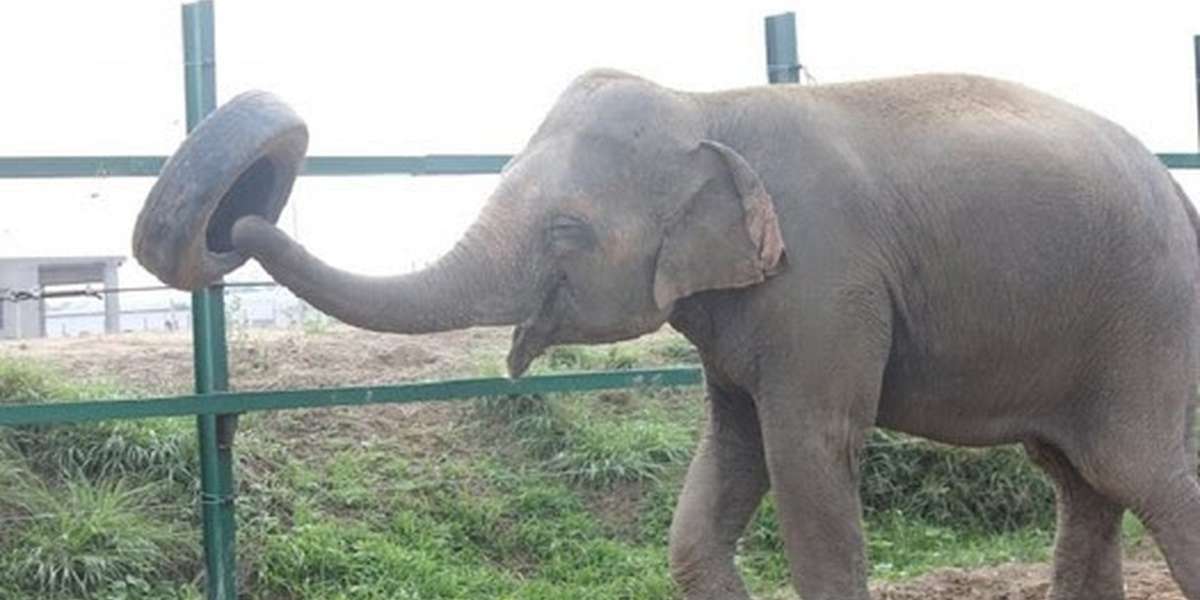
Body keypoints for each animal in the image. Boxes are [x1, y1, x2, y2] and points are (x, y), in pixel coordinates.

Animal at [142, 70, 1200, 600]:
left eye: (567, 231)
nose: (239, 213)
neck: (710, 105)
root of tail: (1177, 189)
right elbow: (728, 460)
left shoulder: (825, 281)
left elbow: (808, 455)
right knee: (1081, 481)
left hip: (1144, 321)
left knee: (1140, 472)